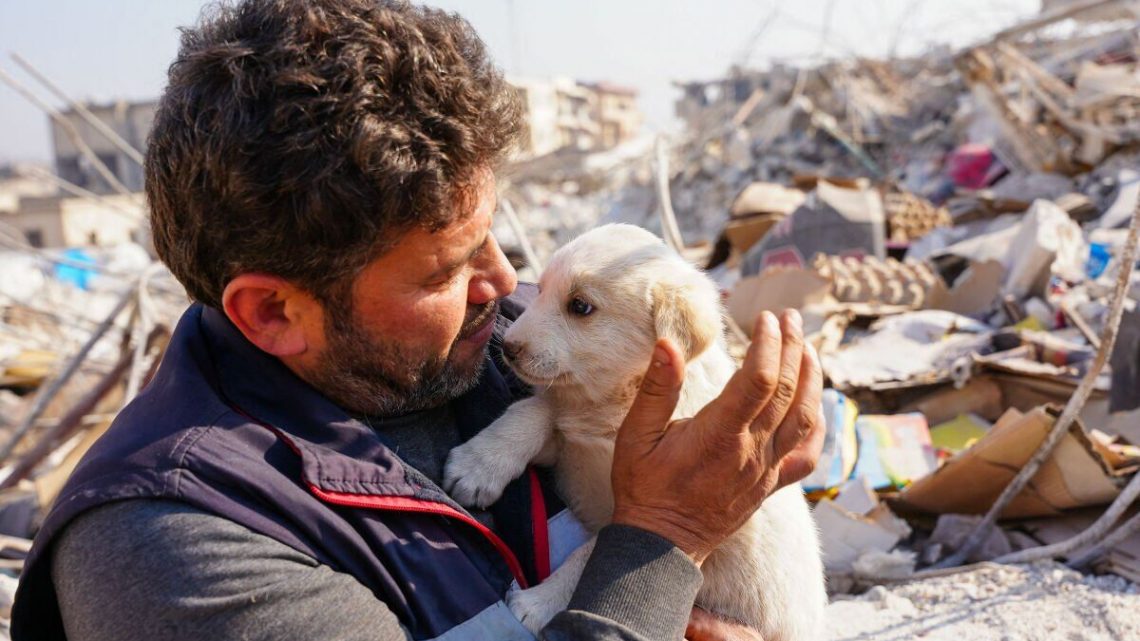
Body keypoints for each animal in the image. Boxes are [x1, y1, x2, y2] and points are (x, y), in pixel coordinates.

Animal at [440, 222, 825, 634]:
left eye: (580, 306)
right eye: (540, 290)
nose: (509, 348)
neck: (621, 398)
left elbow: (589, 553)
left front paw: (537, 602)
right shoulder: (573, 447)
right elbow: (536, 410)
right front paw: (478, 465)